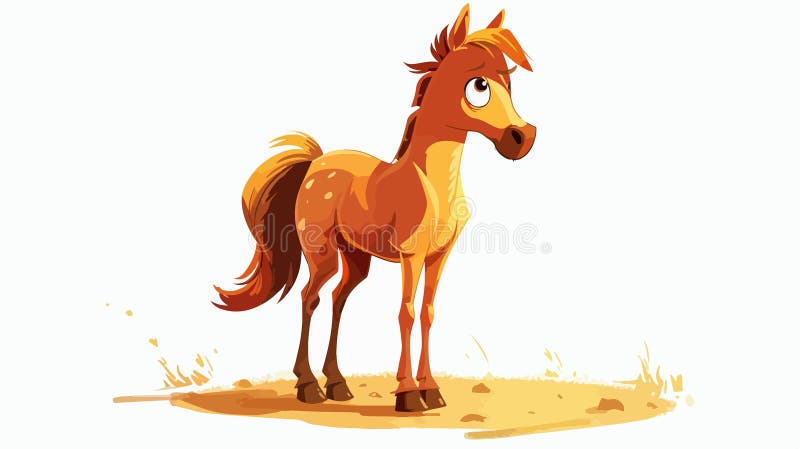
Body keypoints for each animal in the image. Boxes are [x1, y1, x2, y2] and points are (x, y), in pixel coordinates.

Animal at [214, 4, 536, 412]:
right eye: (479, 86)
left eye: (509, 83)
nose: (523, 137)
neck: (432, 183)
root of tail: (315, 163)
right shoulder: (411, 256)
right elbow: (406, 312)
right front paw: (408, 394)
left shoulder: (439, 257)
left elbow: (428, 314)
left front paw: (432, 390)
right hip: (322, 254)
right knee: (309, 298)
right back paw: (308, 386)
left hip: (356, 259)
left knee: (337, 300)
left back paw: (337, 383)